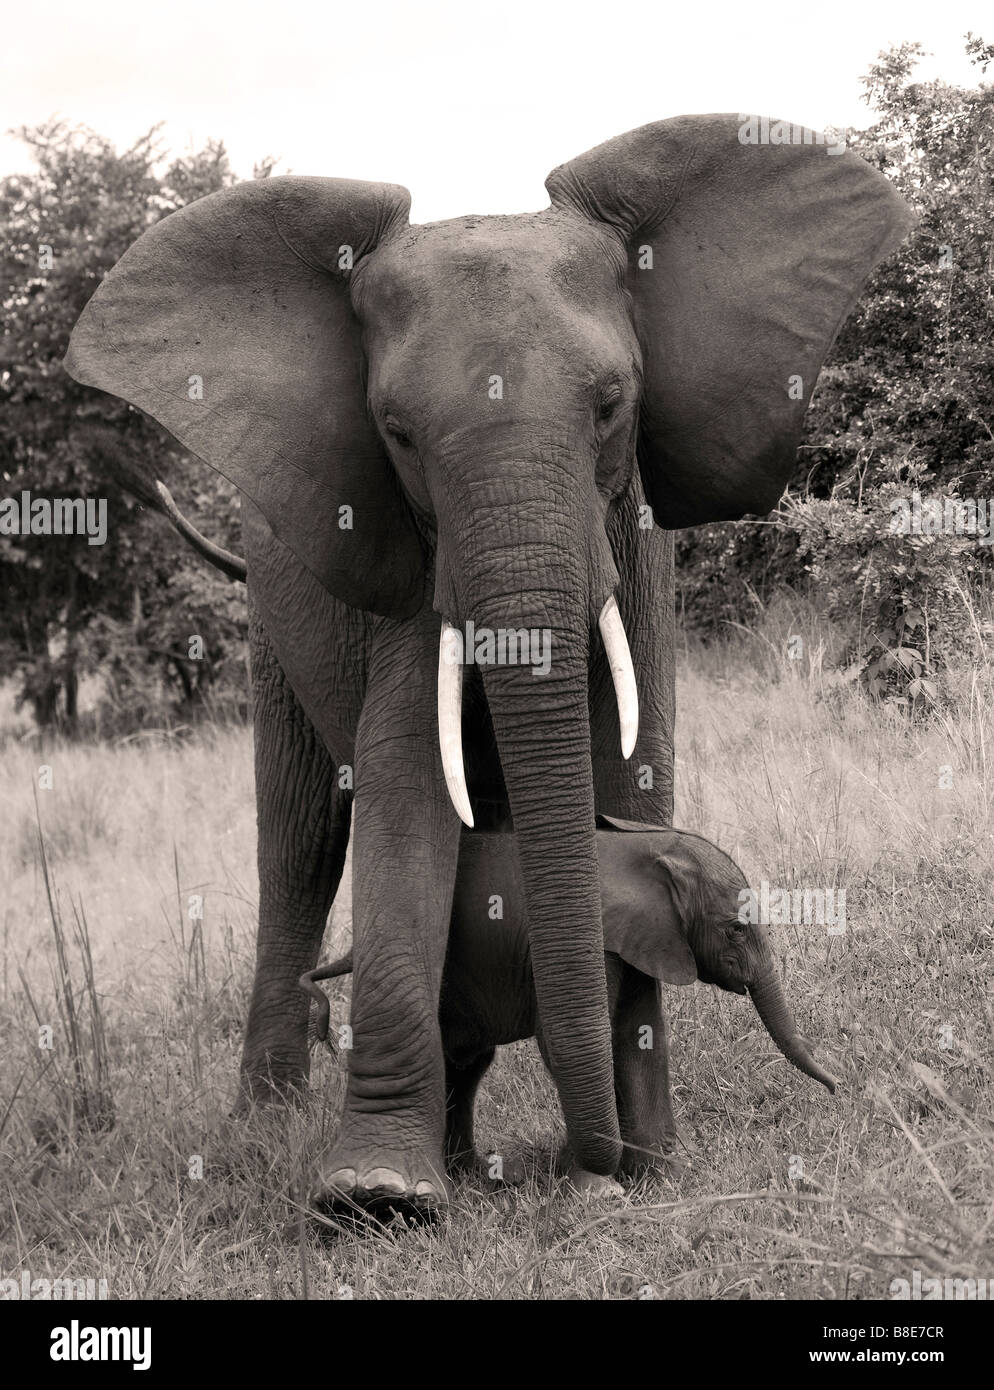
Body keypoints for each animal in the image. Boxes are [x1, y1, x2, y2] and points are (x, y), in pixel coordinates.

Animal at [301, 818, 836, 1201]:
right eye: (736, 929)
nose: (838, 1087)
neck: (649, 849)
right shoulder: (589, 942)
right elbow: (569, 1039)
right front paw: (595, 1185)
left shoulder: (639, 939)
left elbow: (639, 1037)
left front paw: (665, 1179)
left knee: (467, 1061)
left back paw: (471, 1175)